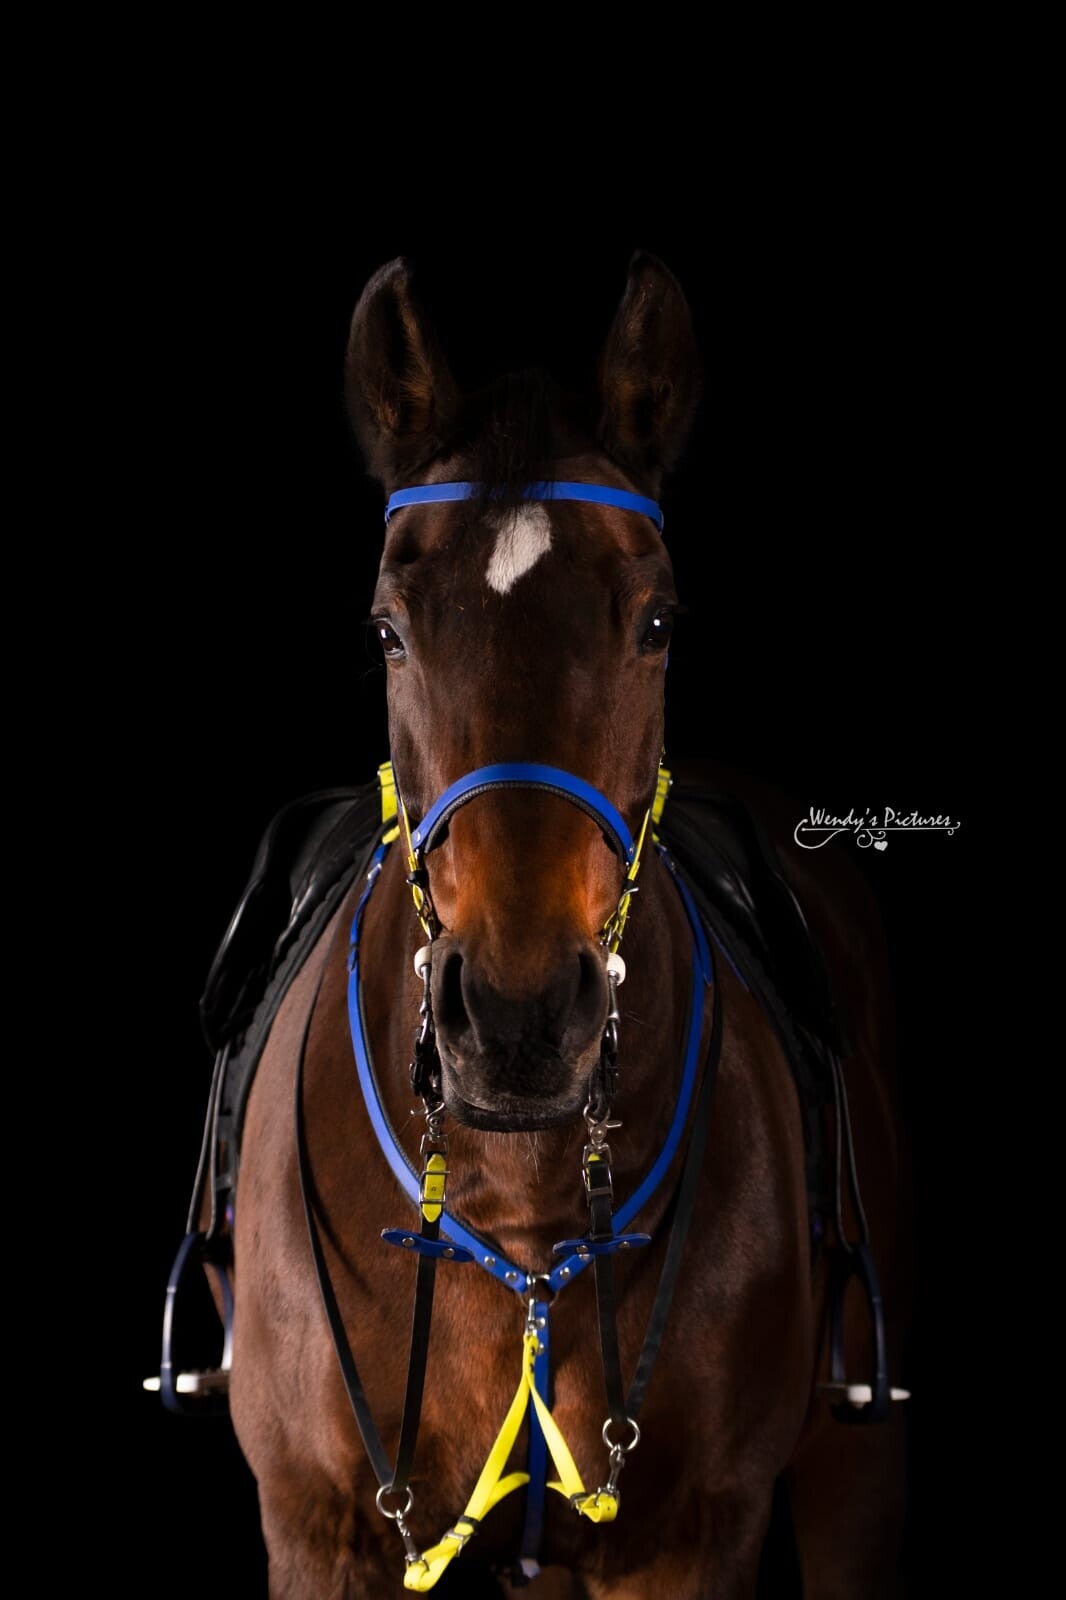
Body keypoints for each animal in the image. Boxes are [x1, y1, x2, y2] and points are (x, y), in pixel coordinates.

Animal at [172, 252, 911, 1597]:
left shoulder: (689, 1538)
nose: (516, 1018)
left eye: (657, 621)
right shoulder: (320, 1528)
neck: (519, 1200)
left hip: (852, 1468)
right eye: (386, 629)